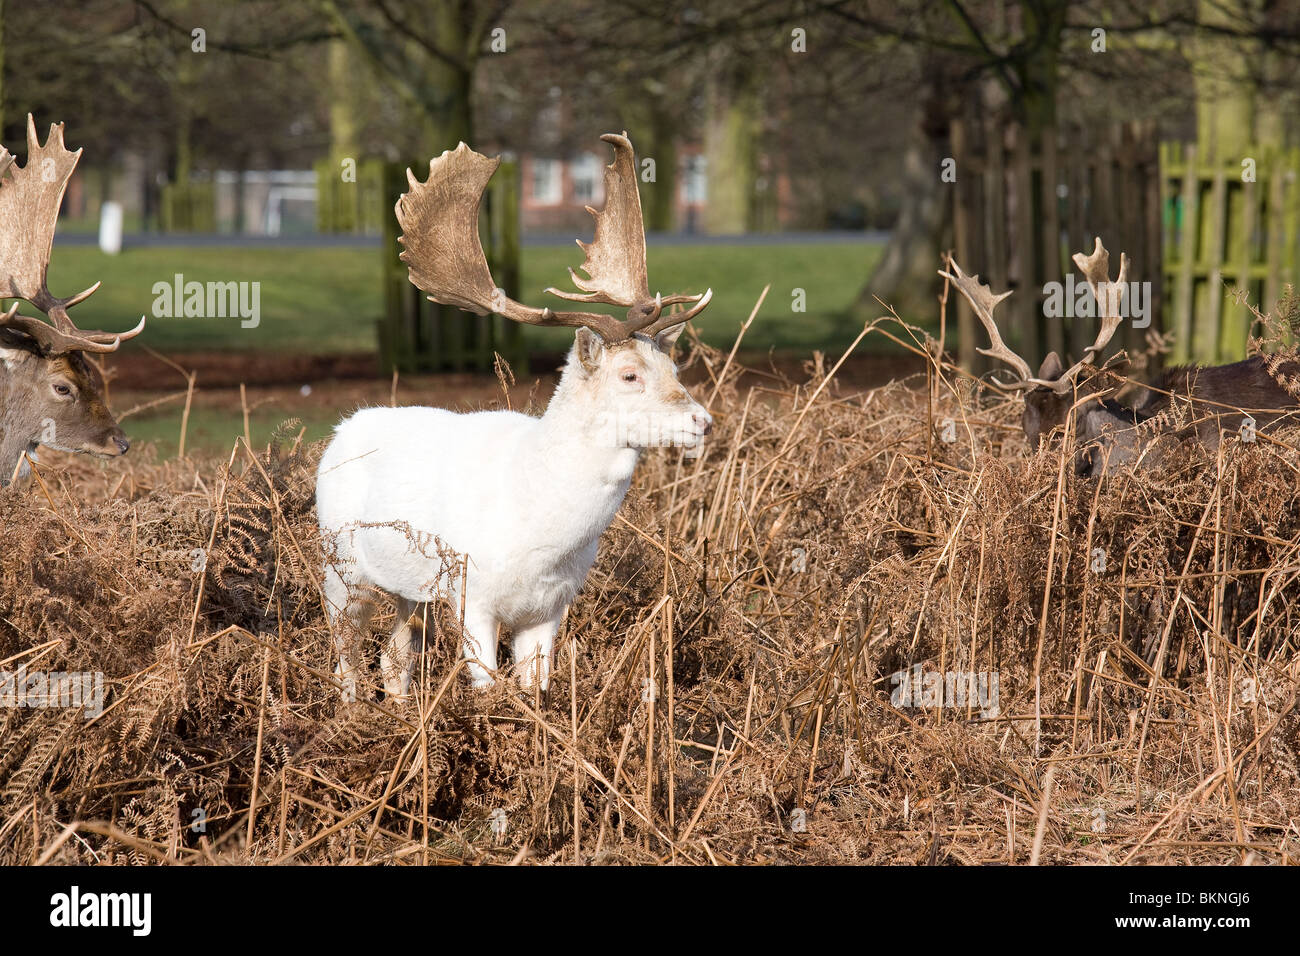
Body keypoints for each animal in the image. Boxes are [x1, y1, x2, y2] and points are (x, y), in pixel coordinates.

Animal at [317, 132, 714, 701]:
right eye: (629, 375)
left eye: (673, 365)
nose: (701, 421)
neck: (540, 537)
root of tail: (339, 431)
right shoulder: (471, 592)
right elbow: (486, 688)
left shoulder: (550, 609)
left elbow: (537, 690)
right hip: (340, 569)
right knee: (345, 660)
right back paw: (352, 709)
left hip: (408, 588)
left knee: (396, 658)